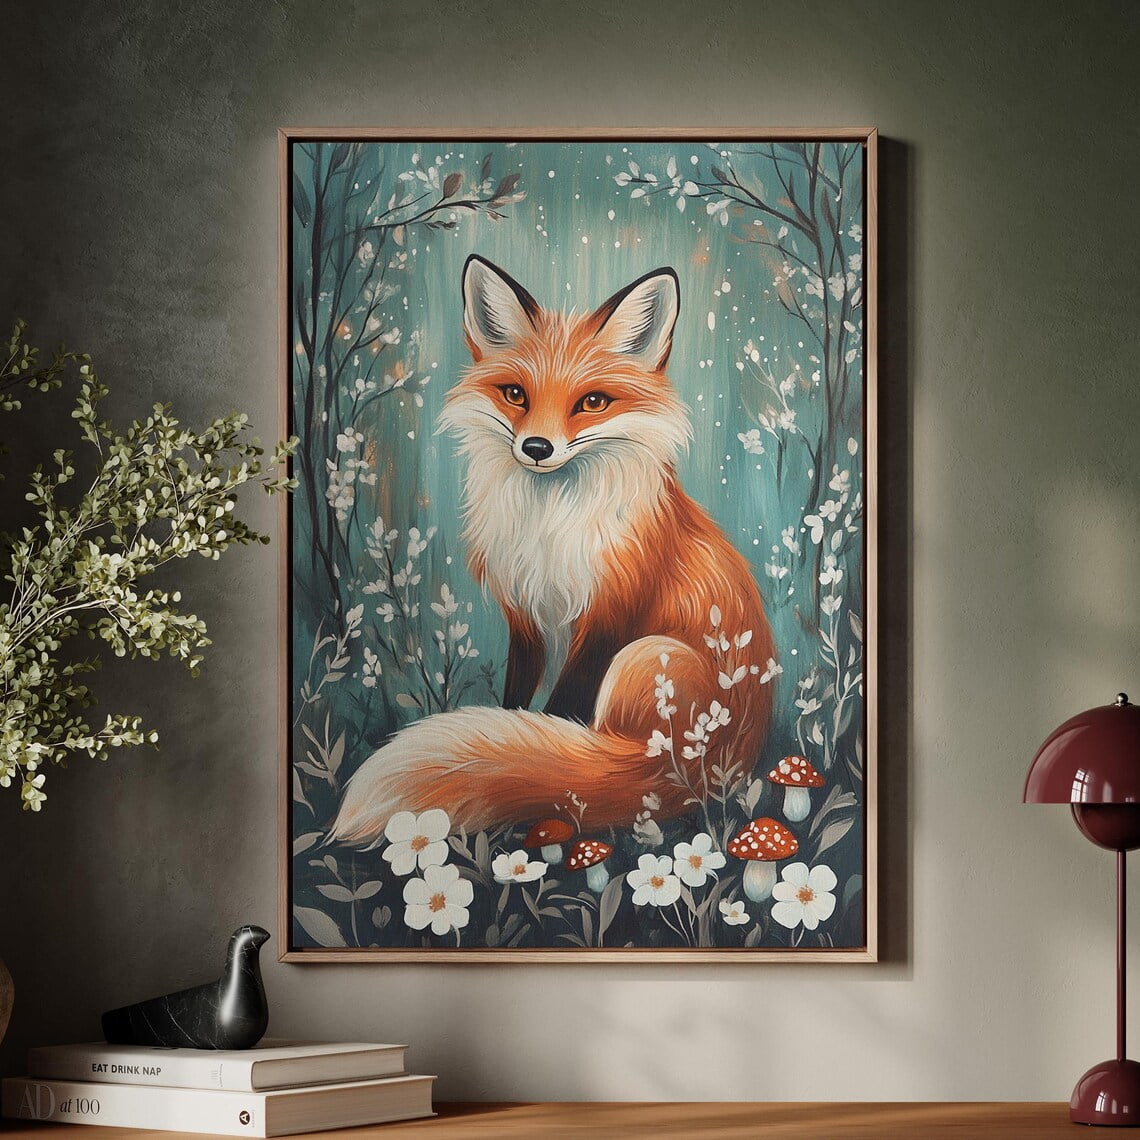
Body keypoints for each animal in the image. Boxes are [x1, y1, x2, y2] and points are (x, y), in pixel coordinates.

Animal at [330, 255, 775, 844]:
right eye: (516, 394)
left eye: (592, 403)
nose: (536, 447)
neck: (548, 526)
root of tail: (720, 766)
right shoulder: (523, 614)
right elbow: (517, 702)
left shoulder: (610, 616)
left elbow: (562, 710)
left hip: (647, 656)